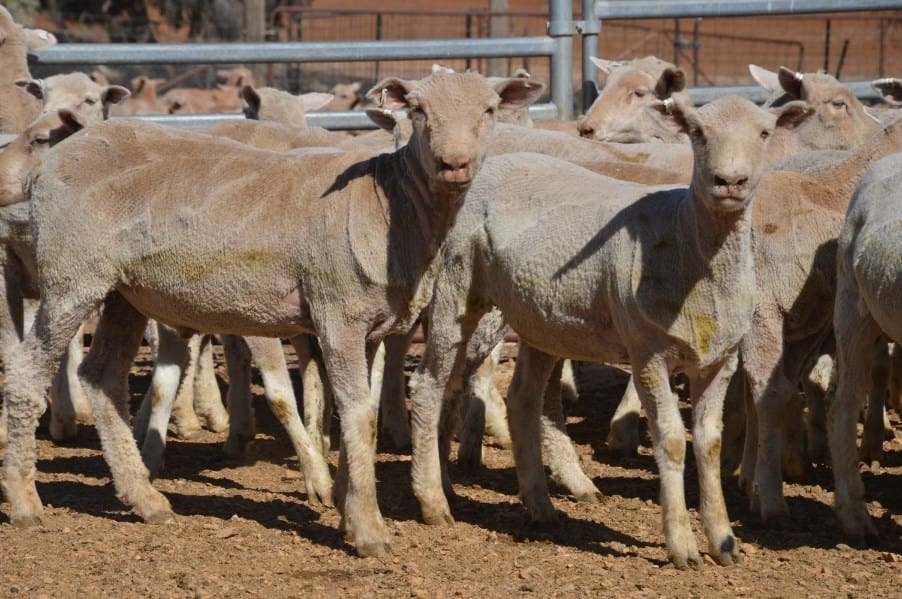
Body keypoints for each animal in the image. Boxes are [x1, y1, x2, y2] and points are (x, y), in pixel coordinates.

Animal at [1, 70, 542, 558]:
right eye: (419, 110)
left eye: (489, 109)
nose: (455, 164)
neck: (390, 206)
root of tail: (49, 164)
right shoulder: (337, 312)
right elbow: (359, 415)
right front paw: (368, 531)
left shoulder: (367, 326)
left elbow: (354, 414)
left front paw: (345, 506)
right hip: (72, 275)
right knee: (26, 373)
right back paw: (24, 500)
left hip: (123, 292)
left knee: (102, 378)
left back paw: (144, 498)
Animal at [408, 95, 812, 568]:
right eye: (697, 132)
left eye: (764, 132)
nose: (729, 181)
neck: (687, 242)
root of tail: (493, 166)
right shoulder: (648, 351)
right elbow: (671, 441)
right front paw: (682, 546)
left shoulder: (720, 358)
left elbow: (707, 444)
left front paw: (724, 541)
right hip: (456, 289)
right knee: (431, 386)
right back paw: (434, 500)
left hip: (543, 318)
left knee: (522, 398)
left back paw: (540, 506)